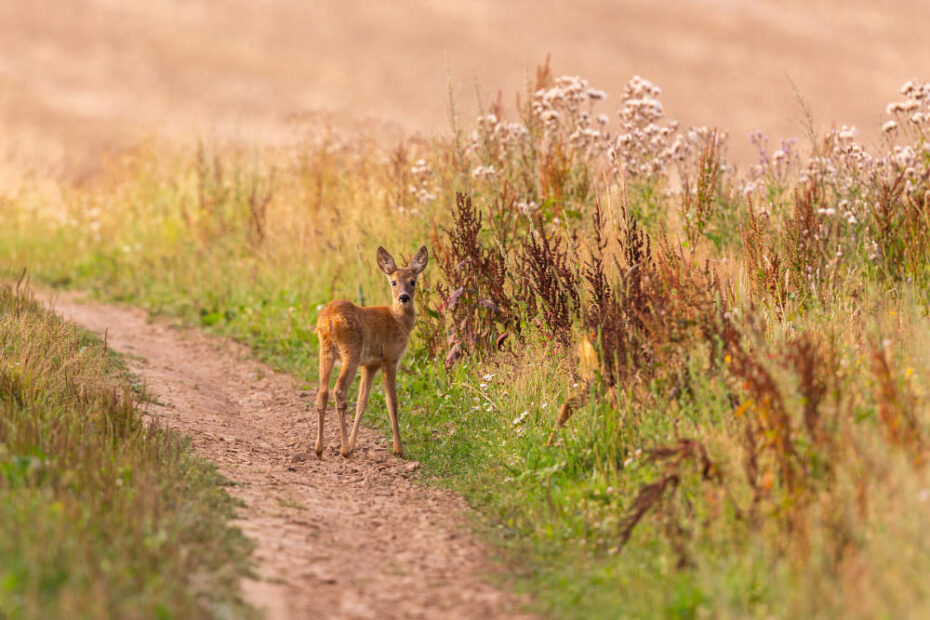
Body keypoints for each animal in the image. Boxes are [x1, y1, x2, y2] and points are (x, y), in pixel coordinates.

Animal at [314, 245, 428, 459]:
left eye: (413, 281)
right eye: (393, 282)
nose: (404, 297)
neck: (398, 319)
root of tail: (329, 320)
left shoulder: (370, 365)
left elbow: (362, 403)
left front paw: (353, 443)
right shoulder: (390, 359)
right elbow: (392, 403)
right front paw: (399, 449)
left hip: (325, 352)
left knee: (322, 392)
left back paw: (319, 448)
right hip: (351, 351)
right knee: (339, 390)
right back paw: (344, 450)